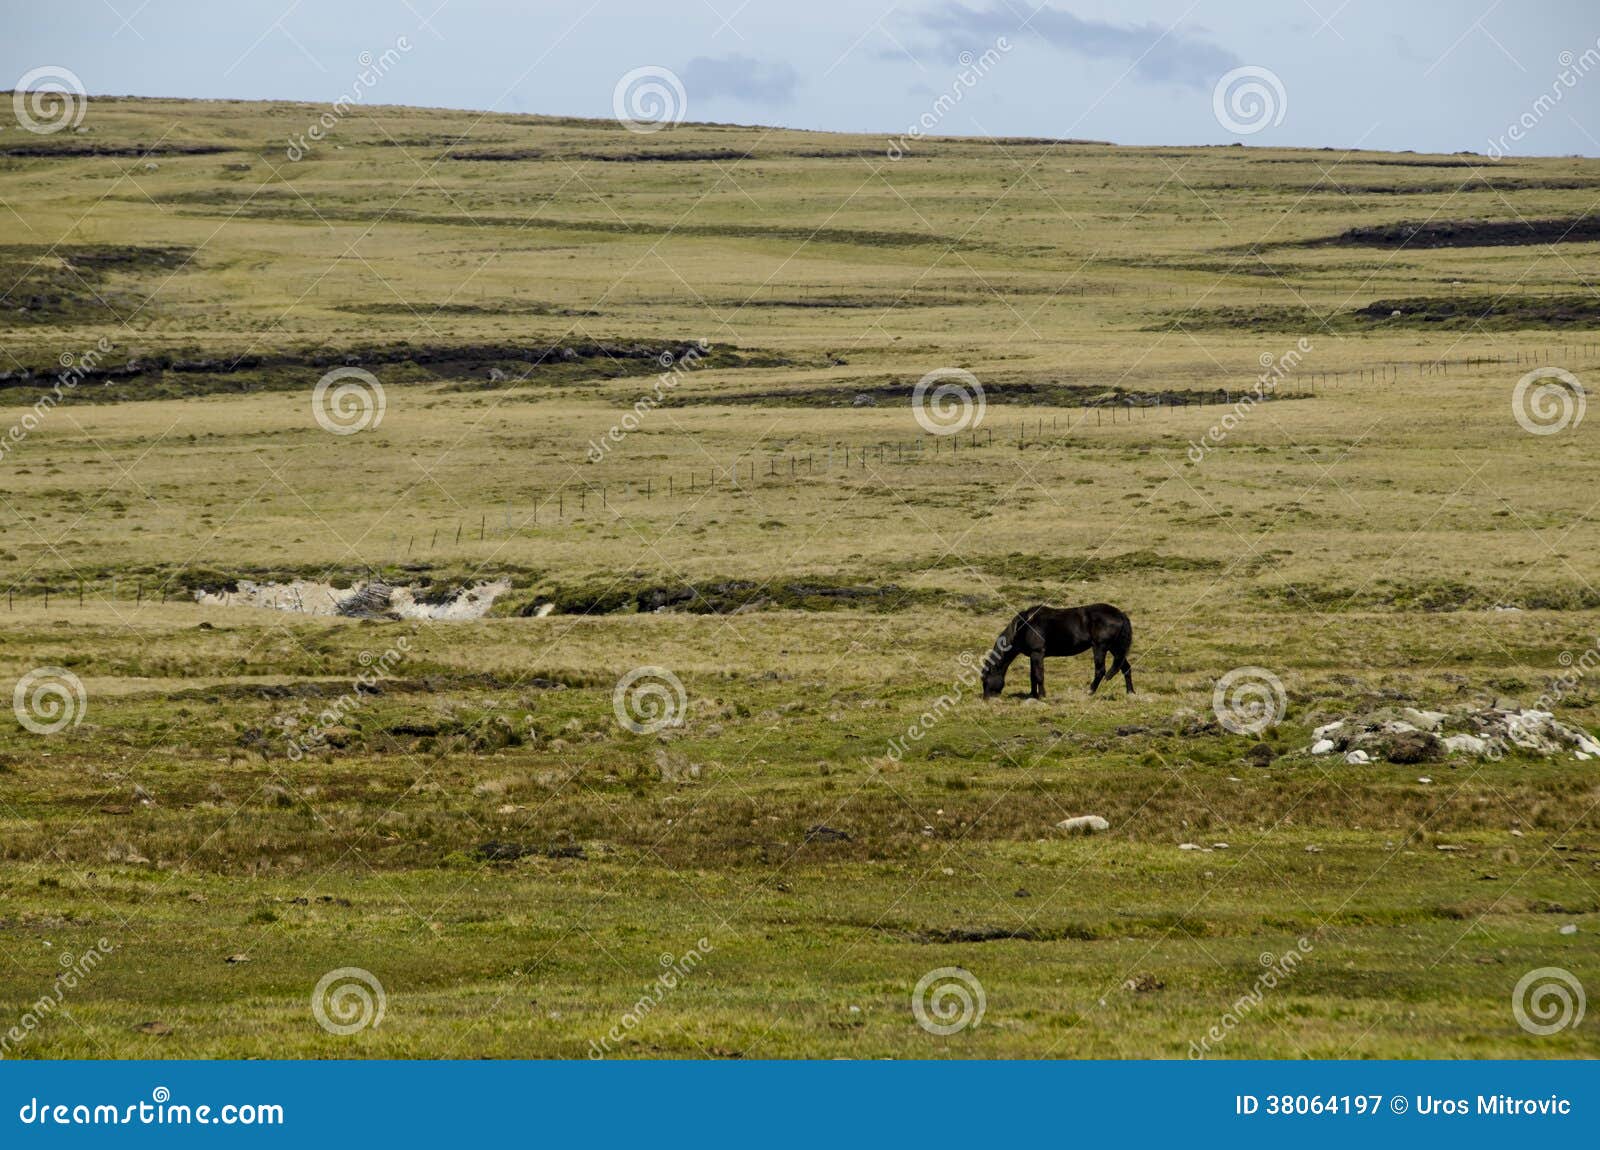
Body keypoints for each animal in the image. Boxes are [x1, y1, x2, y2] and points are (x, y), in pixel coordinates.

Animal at [980, 603, 1134, 699]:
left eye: (985, 679)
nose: (986, 699)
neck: (1024, 627)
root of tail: (1120, 614)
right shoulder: (1033, 655)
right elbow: (1032, 676)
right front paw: (1032, 695)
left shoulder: (1038, 653)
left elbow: (1039, 675)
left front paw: (1042, 695)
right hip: (1115, 648)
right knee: (1125, 667)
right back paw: (1130, 692)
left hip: (1100, 647)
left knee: (1100, 670)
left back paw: (1090, 691)